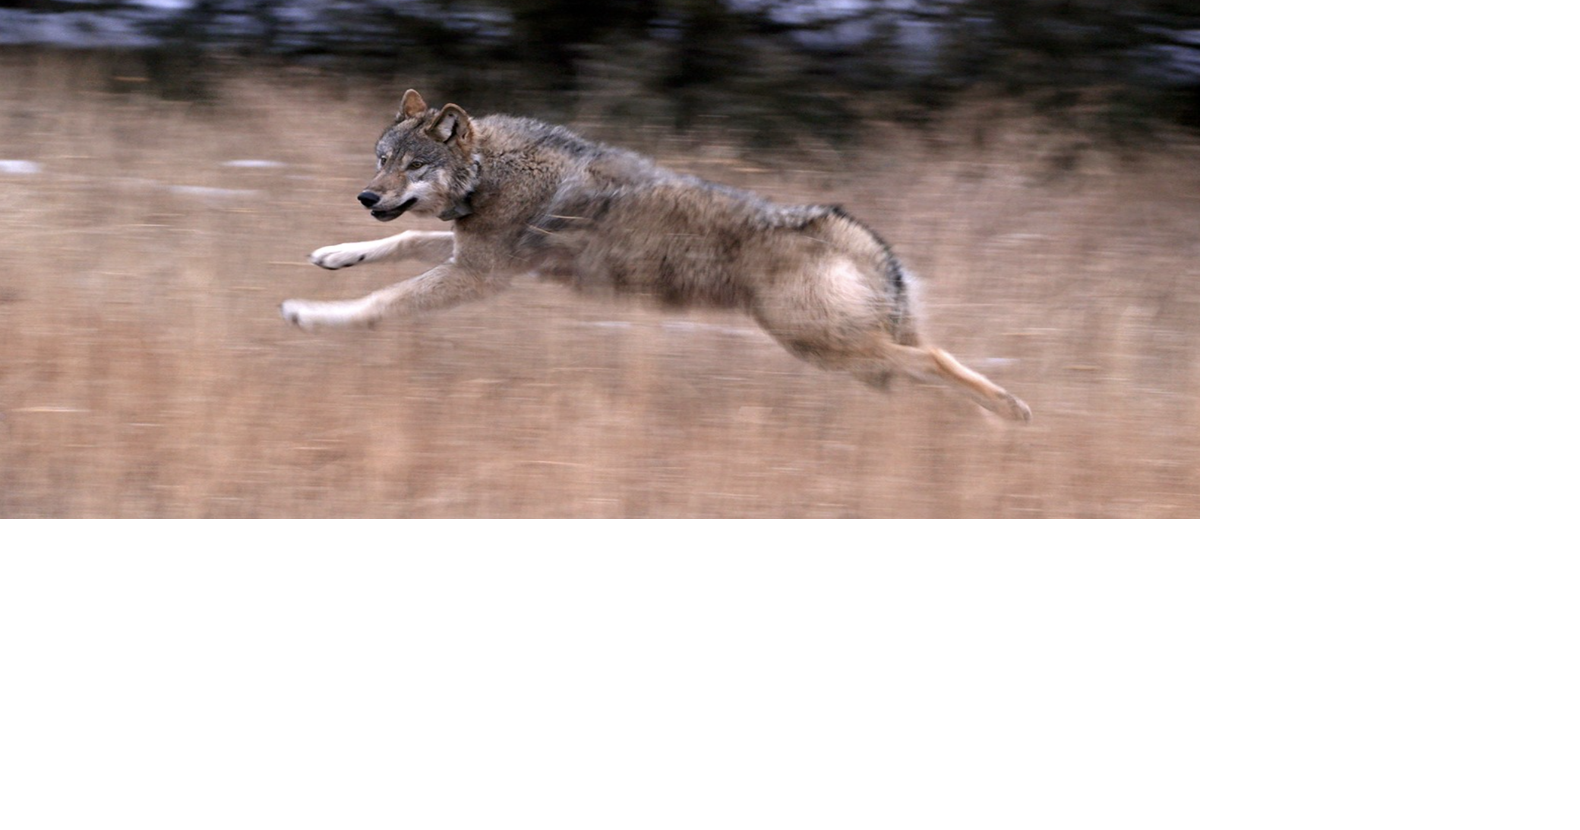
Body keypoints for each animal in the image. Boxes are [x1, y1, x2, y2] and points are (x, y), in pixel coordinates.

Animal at [281, 90, 1030, 421]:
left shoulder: (479, 274)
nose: (364, 196)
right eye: (381, 159)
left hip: (825, 347)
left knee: (936, 359)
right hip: (850, 356)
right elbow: (401, 241)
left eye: (413, 167)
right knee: (922, 367)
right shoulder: (472, 254)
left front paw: (311, 316)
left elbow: (381, 304)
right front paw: (336, 254)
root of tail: (848, 229)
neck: (493, 171)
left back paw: (1010, 411)